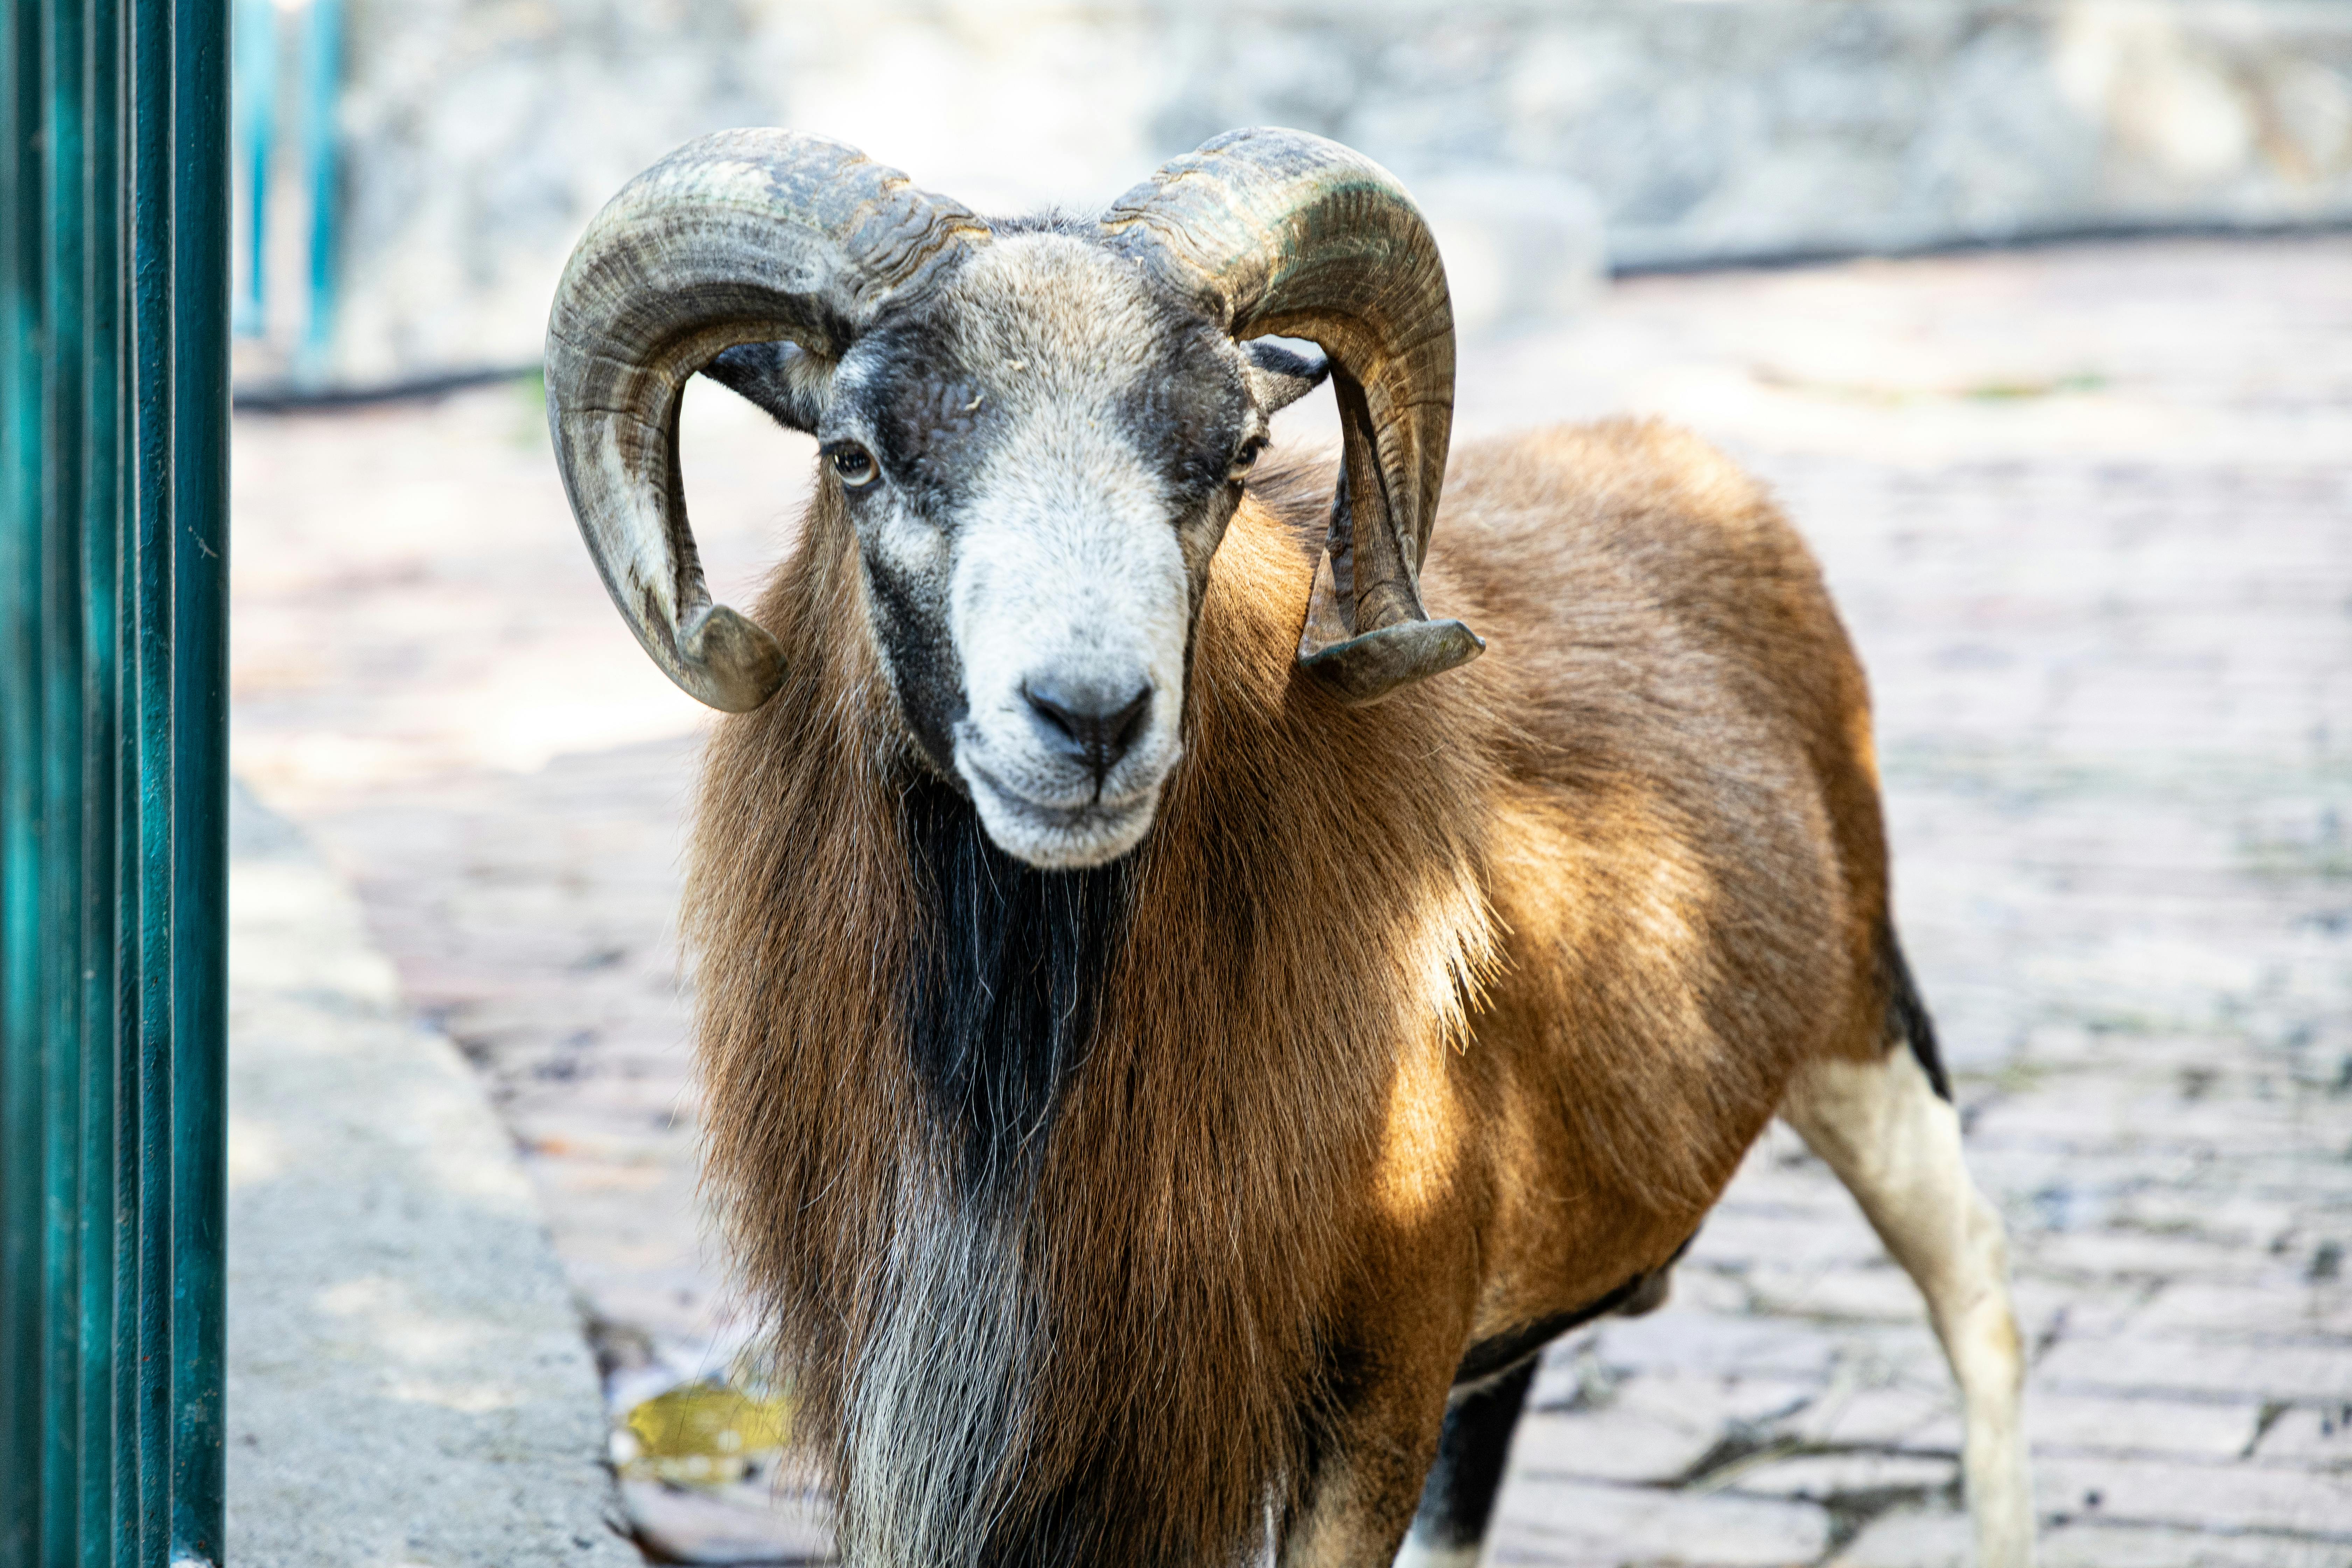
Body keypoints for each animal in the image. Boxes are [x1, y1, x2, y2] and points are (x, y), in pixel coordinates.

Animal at [544, 126, 2034, 1568]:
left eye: (1238, 454)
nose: (1090, 719)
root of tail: (1694, 469)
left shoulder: (1366, 1396)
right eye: (851, 453)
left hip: (1866, 1035)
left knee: (1977, 1295)